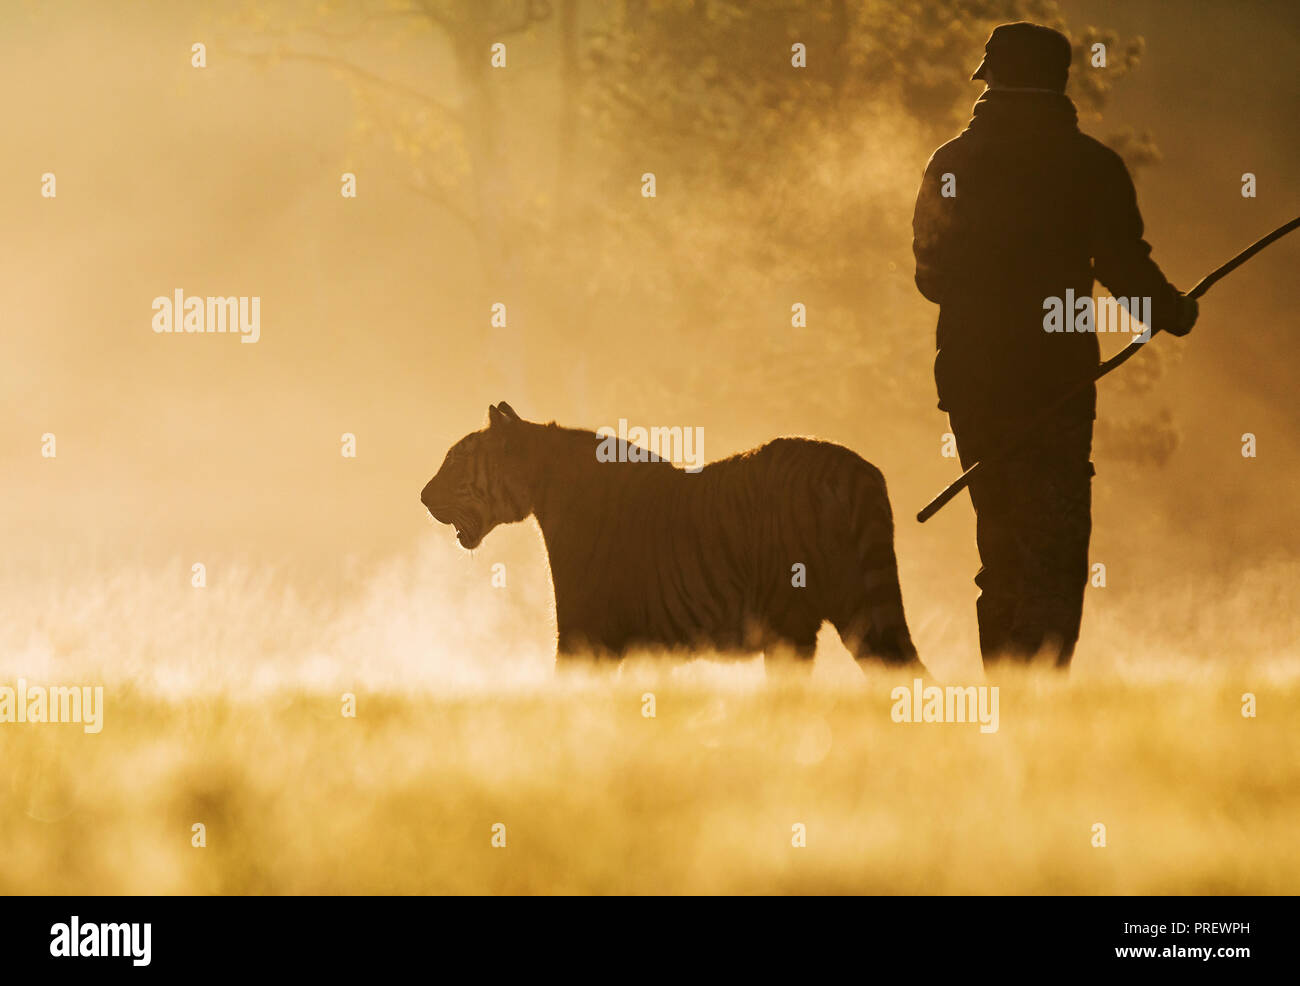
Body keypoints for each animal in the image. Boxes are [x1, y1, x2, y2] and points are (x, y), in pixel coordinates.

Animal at [420, 402, 922, 671]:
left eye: (456, 459)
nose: (423, 496)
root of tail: (858, 470)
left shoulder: (584, 632)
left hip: (792, 619)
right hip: (860, 612)